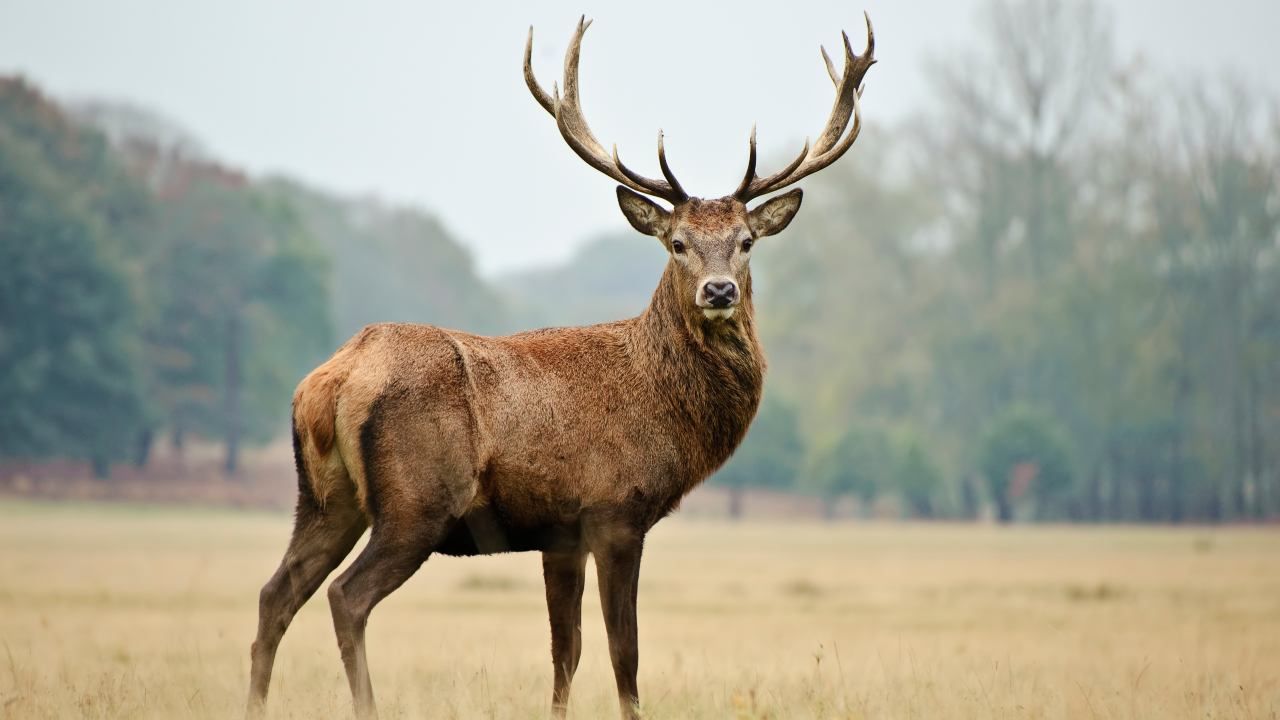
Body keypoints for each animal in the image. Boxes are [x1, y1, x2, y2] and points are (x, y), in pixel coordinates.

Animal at [245, 13, 874, 720]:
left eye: (745, 242)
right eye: (677, 243)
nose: (719, 290)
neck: (666, 408)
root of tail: (331, 380)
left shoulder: (559, 534)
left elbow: (564, 654)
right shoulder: (615, 510)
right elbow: (624, 653)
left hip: (326, 498)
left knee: (276, 593)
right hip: (416, 501)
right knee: (344, 597)